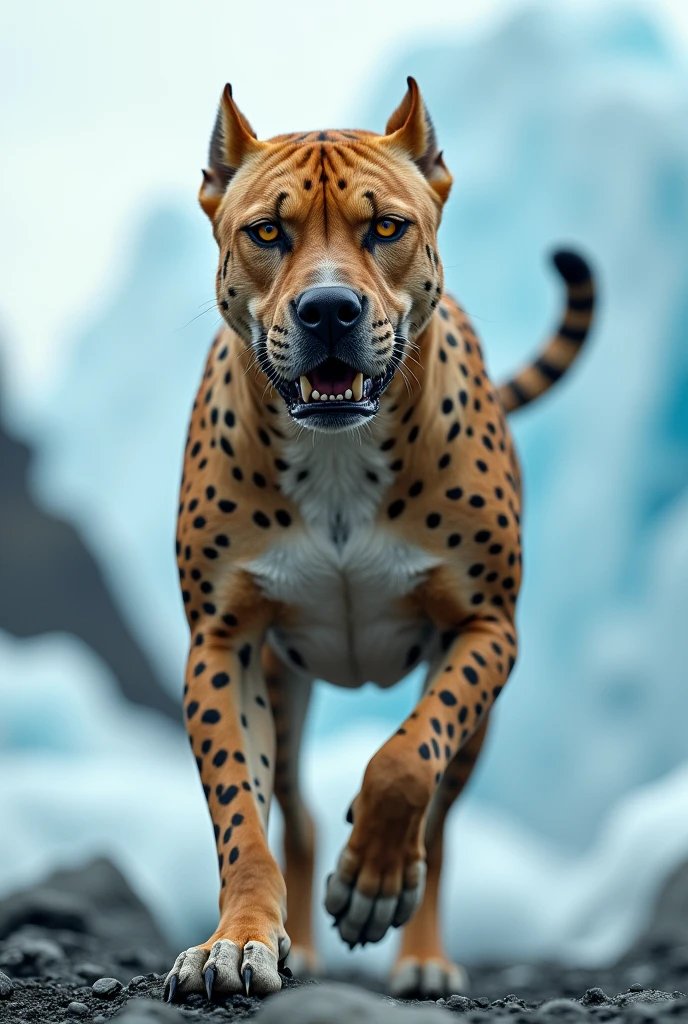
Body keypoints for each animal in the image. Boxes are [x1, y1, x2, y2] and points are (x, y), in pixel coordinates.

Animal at [164, 77, 595, 1003]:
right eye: (267, 231)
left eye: (386, 227)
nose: (329, 308)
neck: (335, 458)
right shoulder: (221, 644)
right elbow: (240, 817)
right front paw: (238, 940)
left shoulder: (483, 628)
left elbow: (406, 760)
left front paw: (371, 883)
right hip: (283, 691)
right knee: (293, 811)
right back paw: (301, 935)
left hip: (475, 722)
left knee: (443, 815)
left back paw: (417, 947)